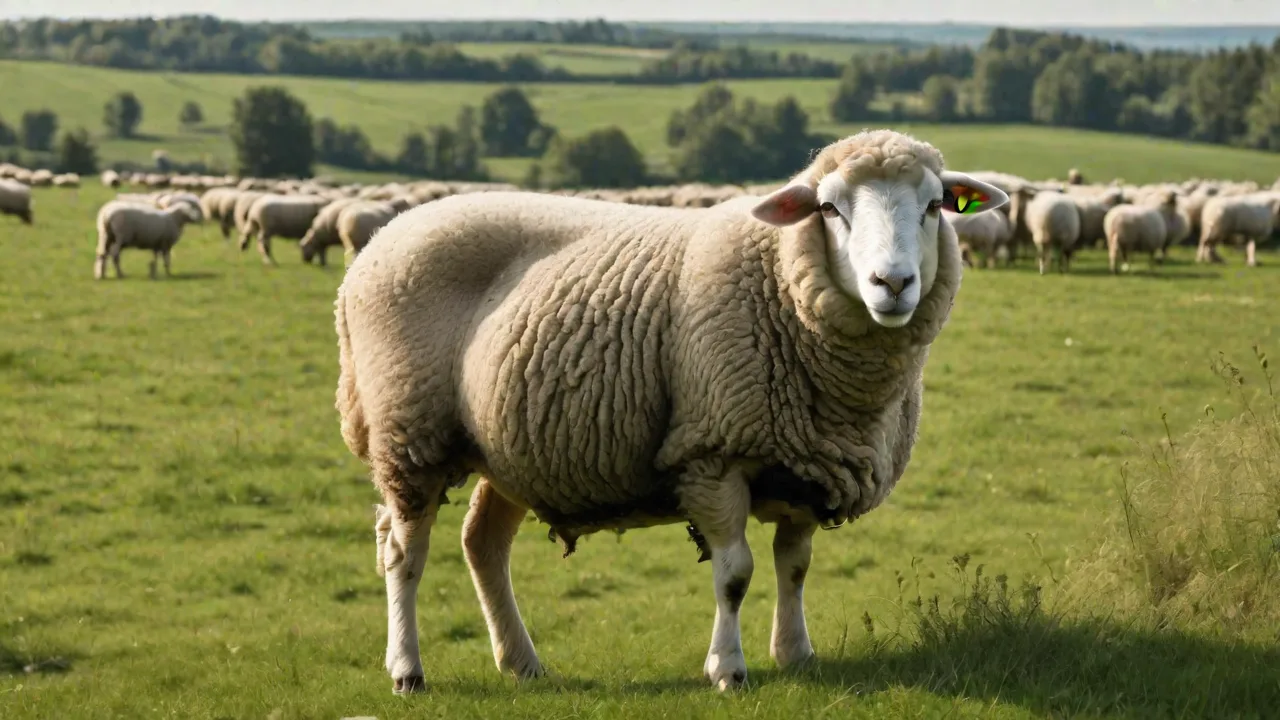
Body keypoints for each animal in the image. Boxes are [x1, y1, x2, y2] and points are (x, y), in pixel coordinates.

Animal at [332, 129, 1008, 695]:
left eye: (933, 206)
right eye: (829, 209)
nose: (891, 284)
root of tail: (382, 239)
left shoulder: (803, 463)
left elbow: (794, 567)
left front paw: (795, 655)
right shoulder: (712, 453)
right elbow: (735, 573)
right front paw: (727, 669)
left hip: (507, 449)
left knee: (482, 544)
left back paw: (521, 663)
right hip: (407, 429)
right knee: (403, 551)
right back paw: (407, 670)